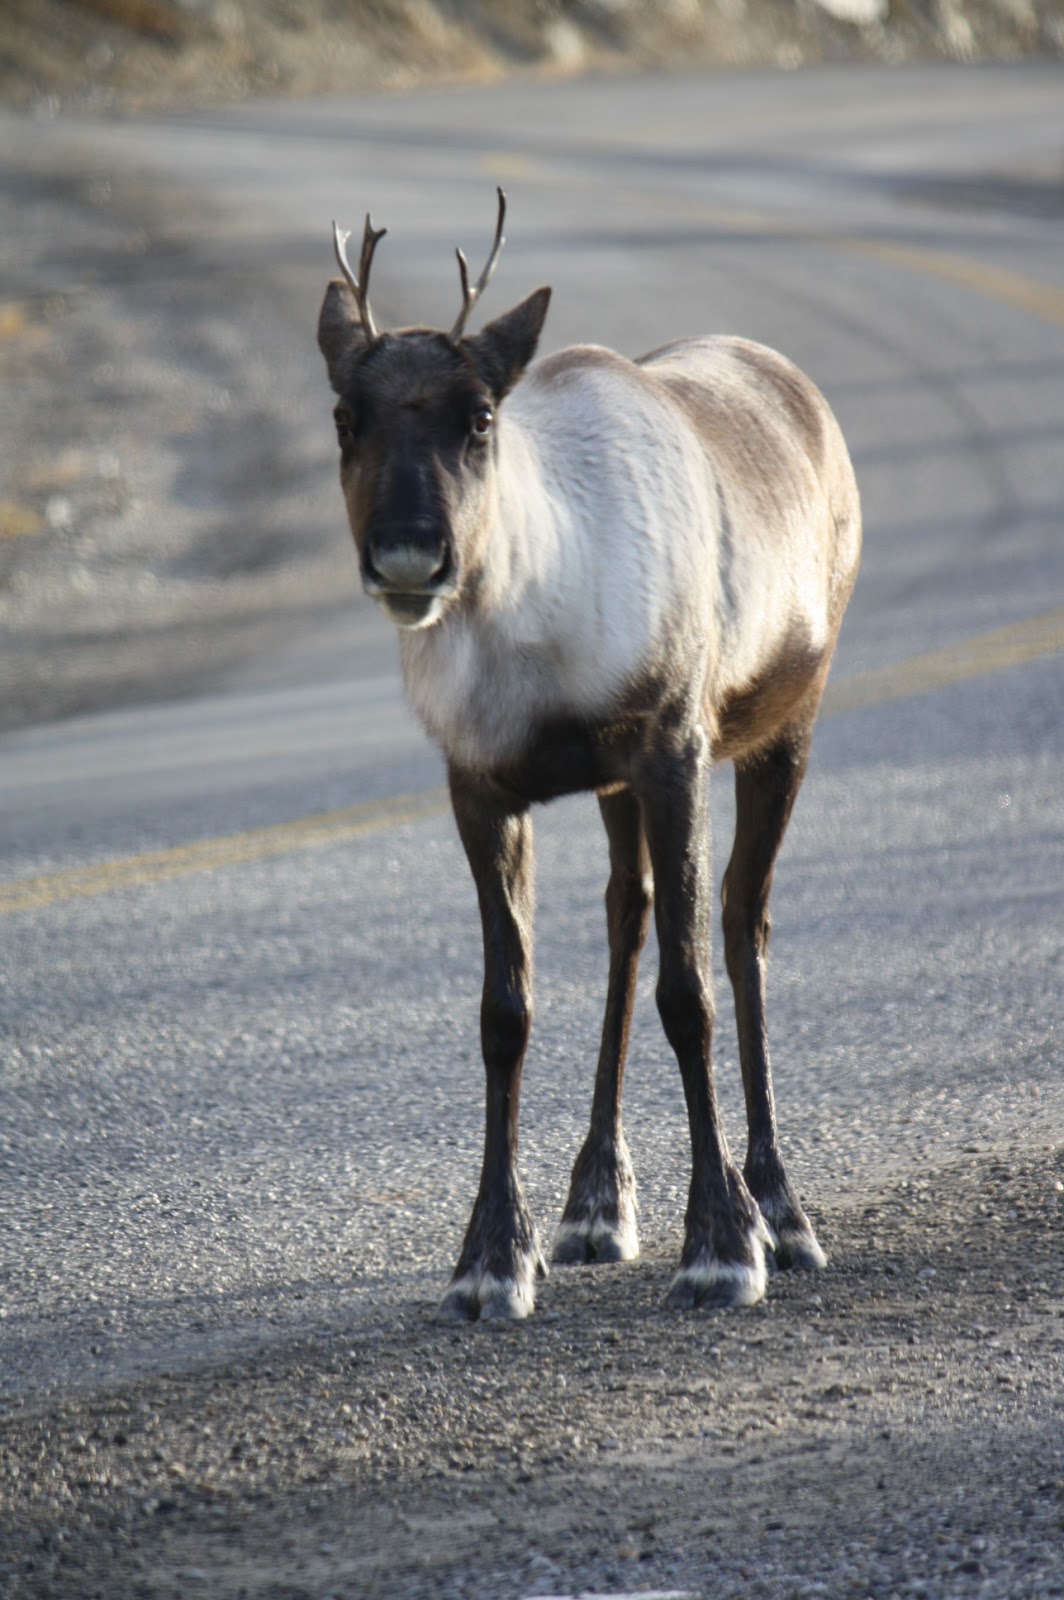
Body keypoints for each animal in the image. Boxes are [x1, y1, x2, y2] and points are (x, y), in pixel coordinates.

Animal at [318, 190, 861, 1322]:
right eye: (345, 414)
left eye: (480, 416)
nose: (407, 554)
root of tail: (792, 382)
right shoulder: (482, 785)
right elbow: (505, 1011)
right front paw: (491, 1256)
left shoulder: (670, 746)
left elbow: (689, 996)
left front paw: (723, 1242)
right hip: (617, 790)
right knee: (629, 917)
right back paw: (595, 1202)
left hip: (787, 722)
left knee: (741, 921)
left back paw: (780, 1207)